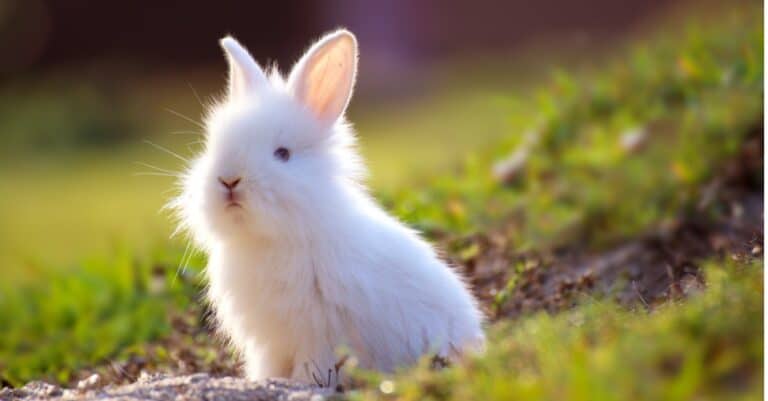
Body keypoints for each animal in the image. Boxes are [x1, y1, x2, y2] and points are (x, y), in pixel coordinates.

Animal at [170, 29, 485, 384]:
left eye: (283, 154)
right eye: (213, 147)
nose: (229, 180)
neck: (272, 237)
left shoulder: (320, 333)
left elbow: (314, 366)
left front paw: (302, 384)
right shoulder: (270, 344)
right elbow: (269, 366)